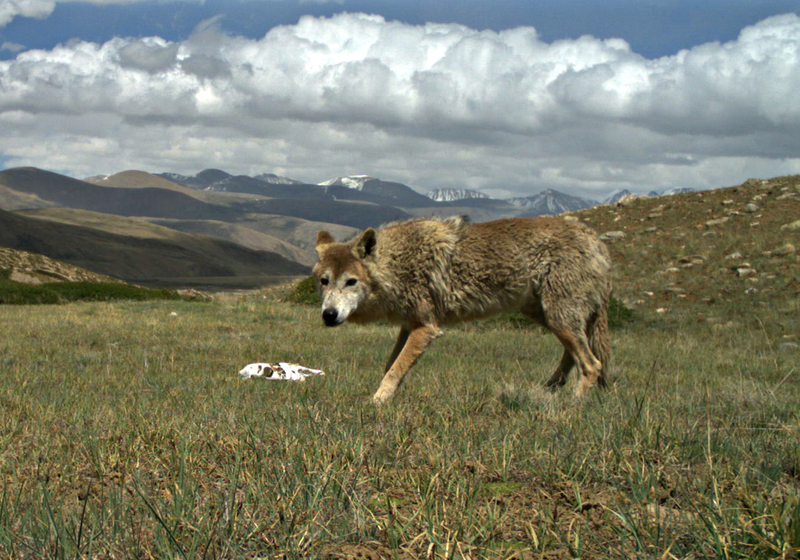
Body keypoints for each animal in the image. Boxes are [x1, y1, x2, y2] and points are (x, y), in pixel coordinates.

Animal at [313, 216, 612, 403]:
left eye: (351, 282)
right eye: (324, 281)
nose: (328, 315)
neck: (397, 265)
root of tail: (597, 242)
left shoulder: (426, 329)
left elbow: (395, 369)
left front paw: (376, 402)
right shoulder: (409, 326)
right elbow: (391, 366)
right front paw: (390, 397)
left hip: (558, 318)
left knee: (592, 365)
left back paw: (570, 406)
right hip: (549, 317)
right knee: (573, 357)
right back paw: (545, 393)